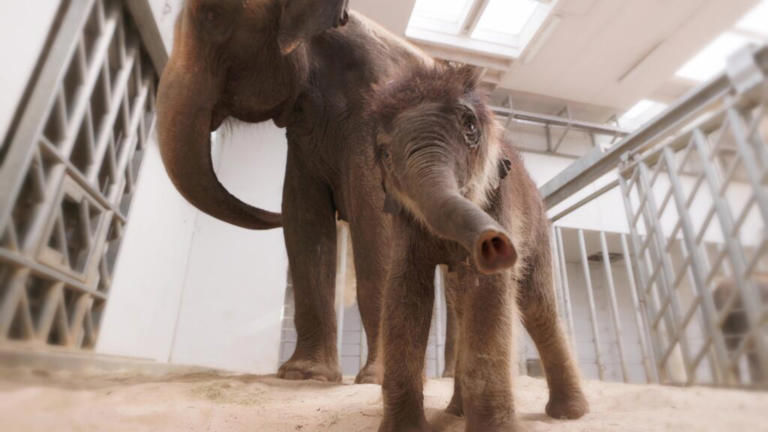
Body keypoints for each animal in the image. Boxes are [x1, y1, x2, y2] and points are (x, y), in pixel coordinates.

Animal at [371, 63, 588, 431]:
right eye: (385, 154)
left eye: (469, 125)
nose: (493, 242)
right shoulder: (405, 221)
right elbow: (404, 293)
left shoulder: (499, 203)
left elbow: (489, 293)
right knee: (460, 302)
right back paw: (455, 411)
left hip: (538, 232)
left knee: (536, 304)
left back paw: (570, 413)